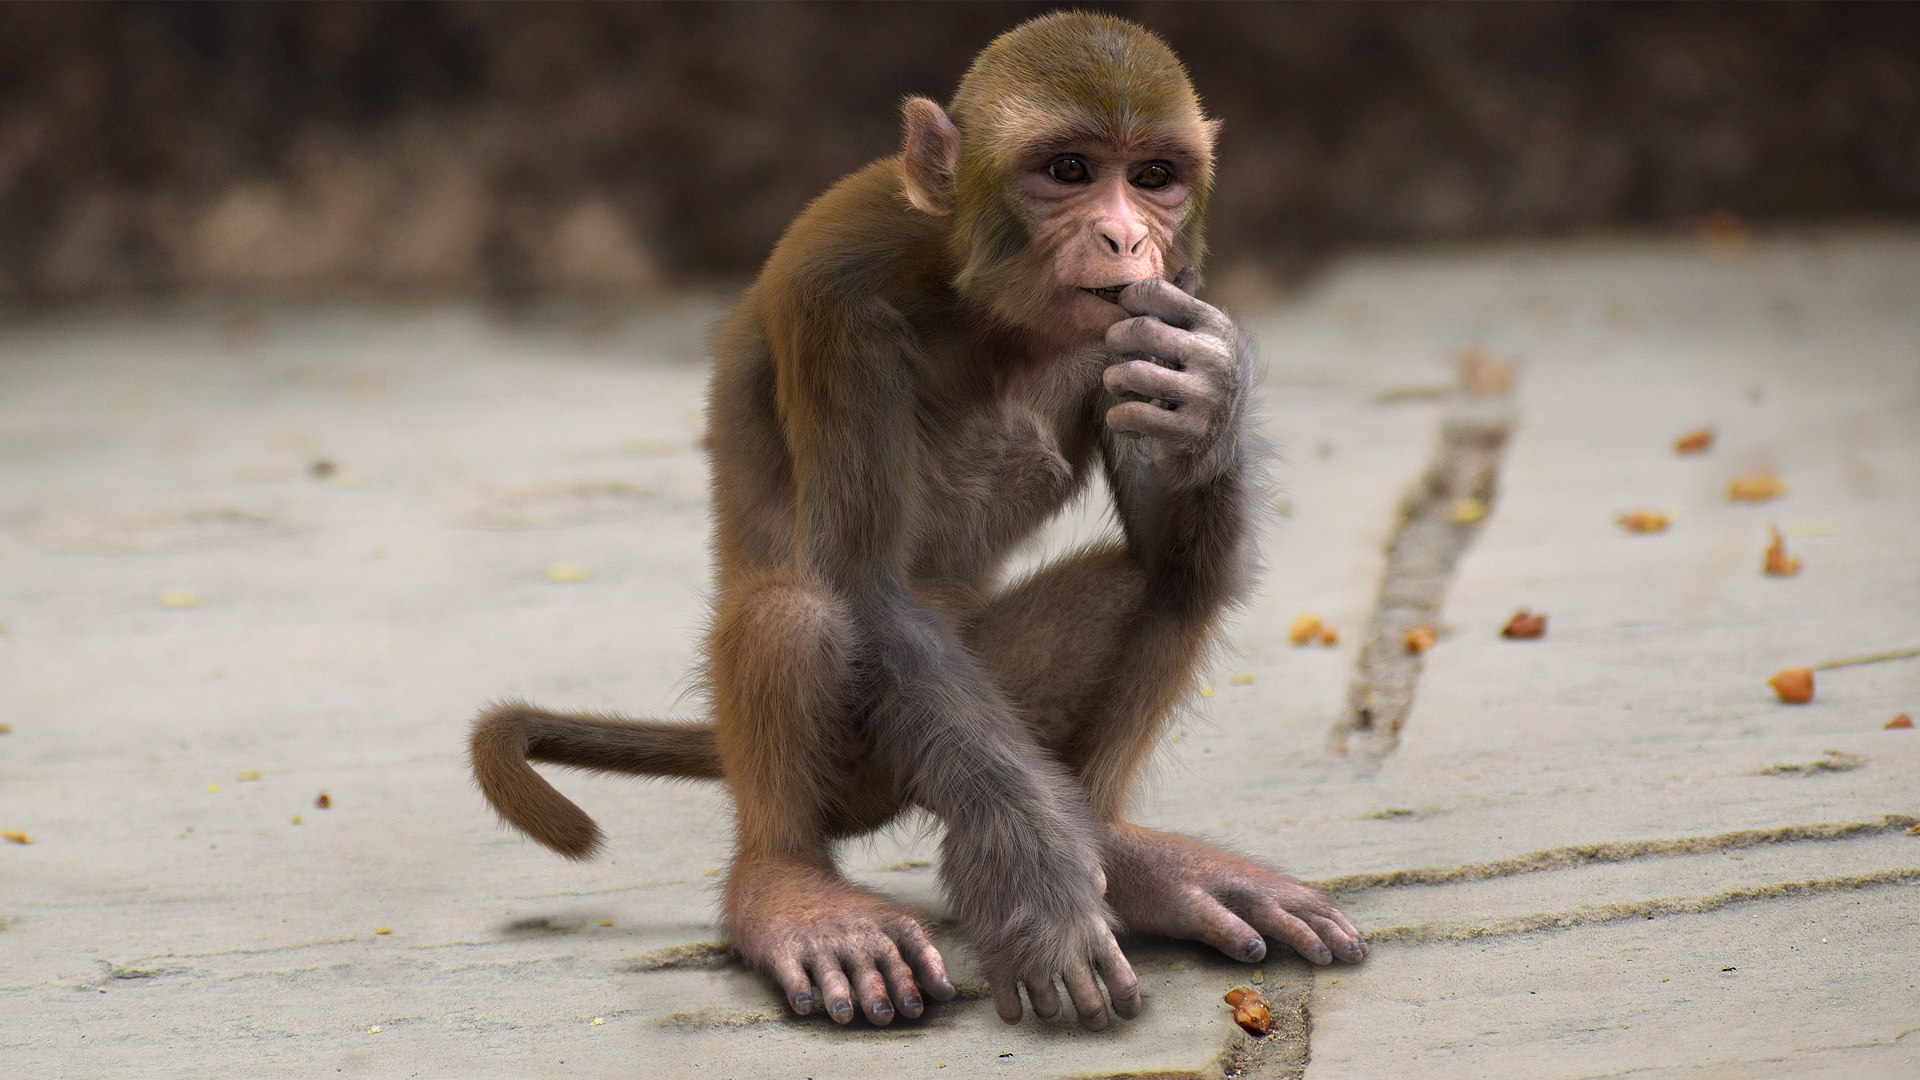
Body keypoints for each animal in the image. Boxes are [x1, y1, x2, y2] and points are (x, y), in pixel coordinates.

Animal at [470, 11, 1367, 1031]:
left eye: (1152, 177)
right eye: (1068, 170)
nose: (1126, 237)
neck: (973, 298)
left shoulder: (1165, 302)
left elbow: (1167, 536)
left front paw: (1210, 393)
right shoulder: (835, 296)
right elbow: (867, 588)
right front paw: (1035, 892)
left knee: (1179, 573)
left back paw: (1119, 852)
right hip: (870, 761)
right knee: (796, 608)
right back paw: (789, 890)